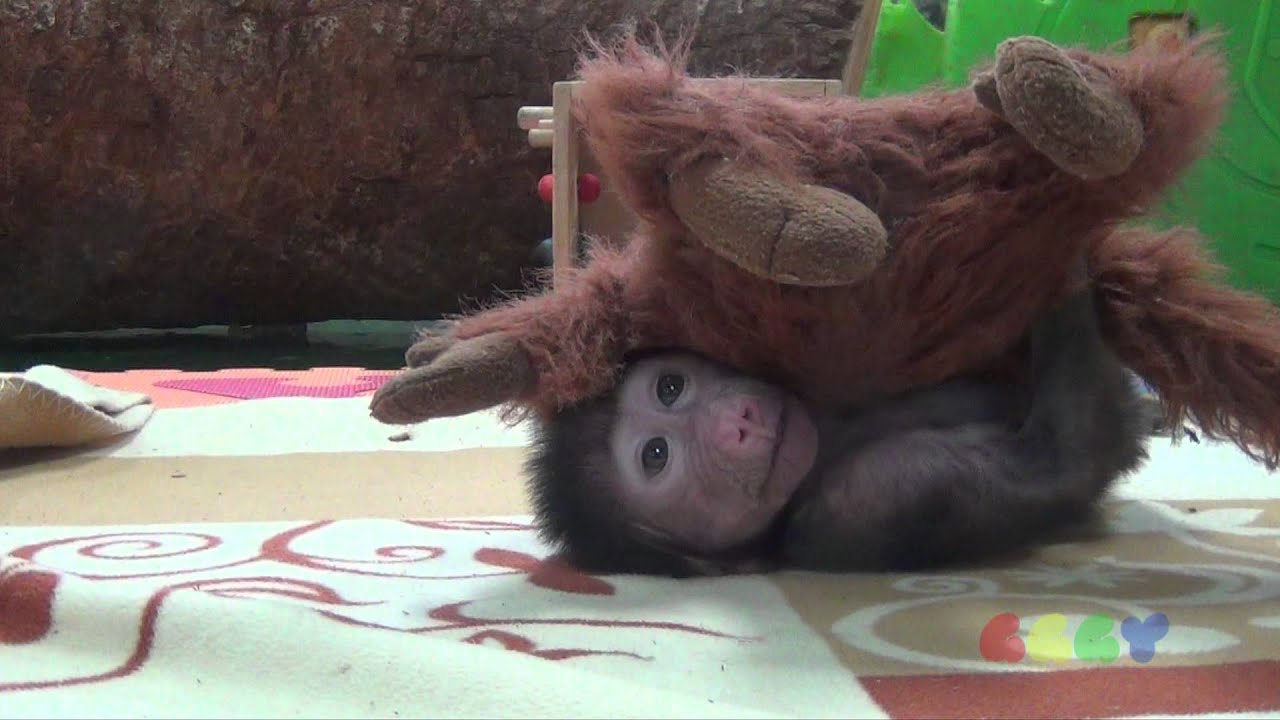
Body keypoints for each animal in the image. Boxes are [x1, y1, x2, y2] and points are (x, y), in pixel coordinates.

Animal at [524, 287, 1152, 577]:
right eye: (656, 455)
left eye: (670, 387)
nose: (738, 423)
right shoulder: (864, 500)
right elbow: (1071, 457)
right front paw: (1068, 283)